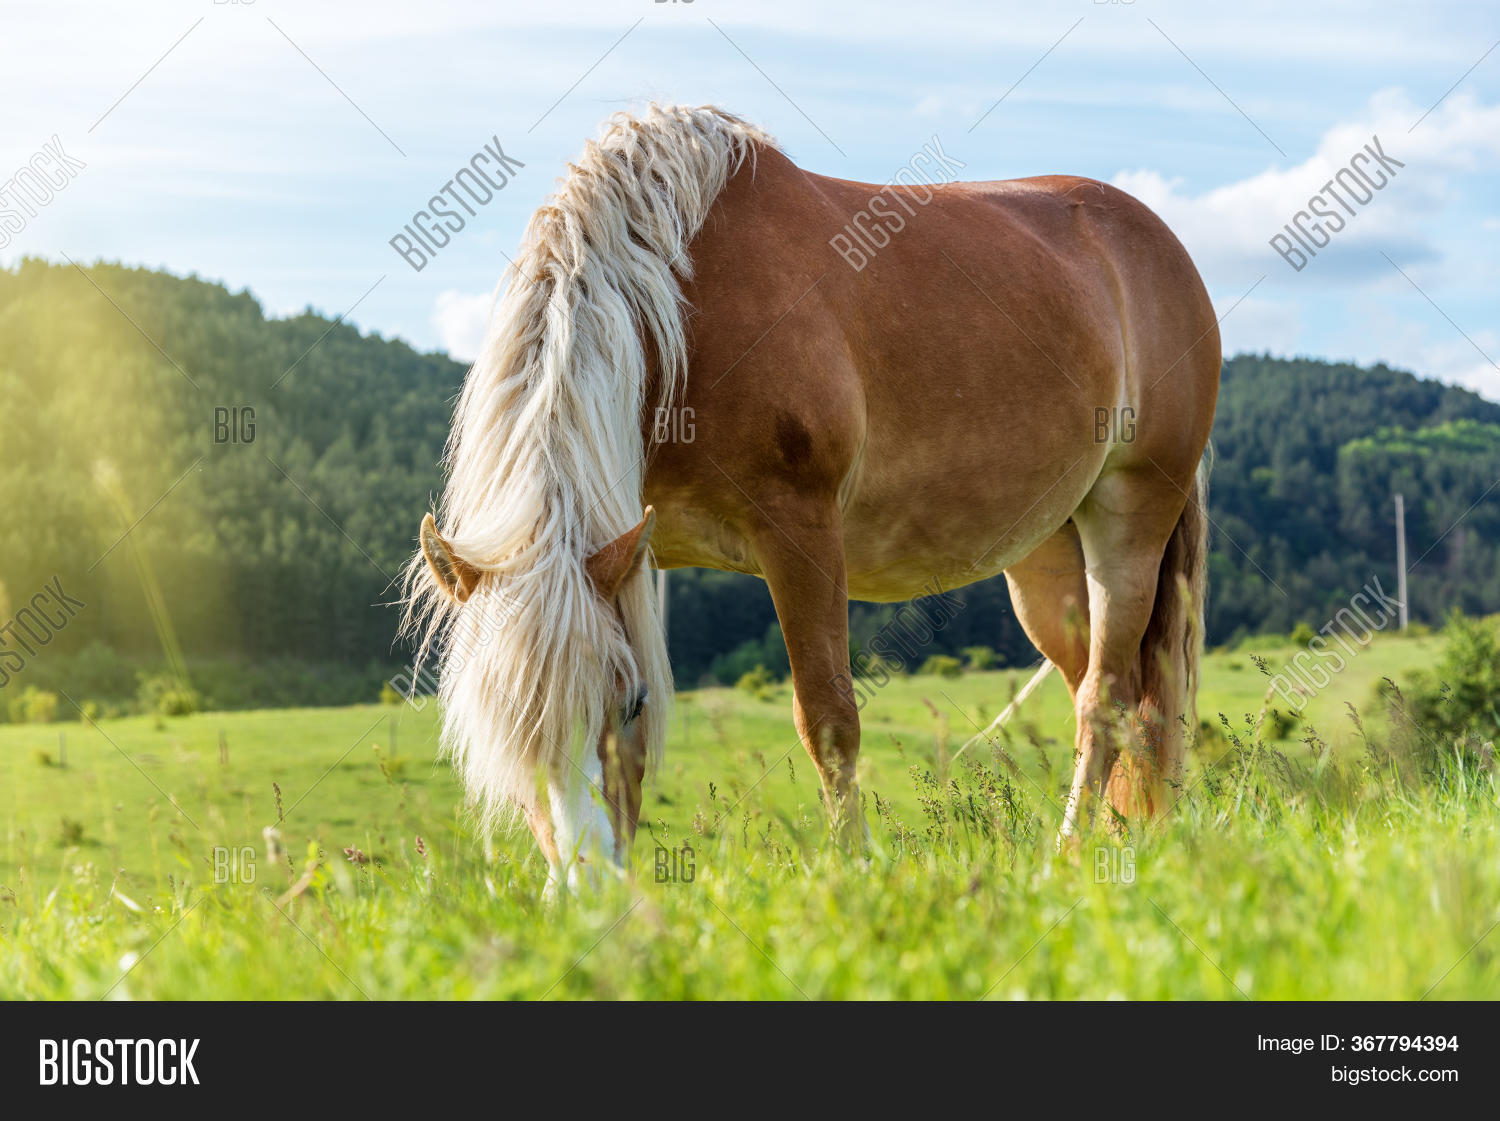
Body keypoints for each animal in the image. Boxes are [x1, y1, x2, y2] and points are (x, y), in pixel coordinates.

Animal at [403, 104, 1219, 889]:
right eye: (496, 730)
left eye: (630, 702)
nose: (588, 894)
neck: (683, 312)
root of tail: (1157, 241)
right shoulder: (637, 549)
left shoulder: (800, 530)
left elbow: (828, 719)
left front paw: (853, 869)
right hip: (1047, 556)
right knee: (1110, 698)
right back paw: (1129, 840)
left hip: (1132, 514)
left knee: (1108, 695)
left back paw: (1072, 850)